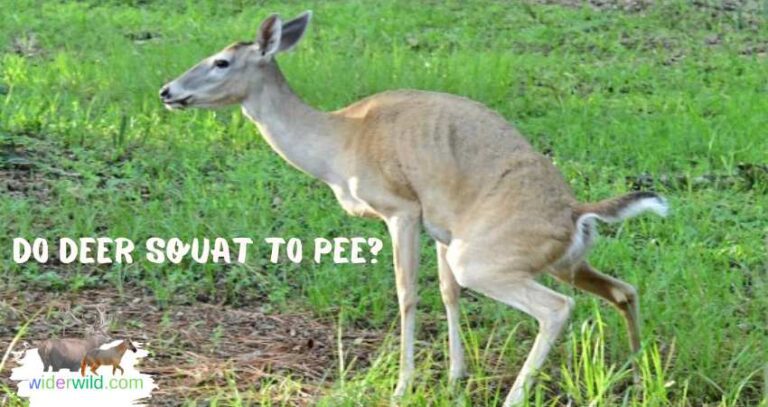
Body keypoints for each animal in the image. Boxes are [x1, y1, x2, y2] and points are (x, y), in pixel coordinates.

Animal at [159, 11, 668, 406]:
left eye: (221, 61)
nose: (167, 90)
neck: (338, 147)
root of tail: (578, 211)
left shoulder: (401, 207)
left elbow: (407, 292)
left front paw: (403, 384)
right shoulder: (441, 225)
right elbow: (447, 293)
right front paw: (456, 376)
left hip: (486, 255)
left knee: (557, 308)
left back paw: (516, 395)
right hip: (556, 258)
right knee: (624, 289)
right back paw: (640, 379)